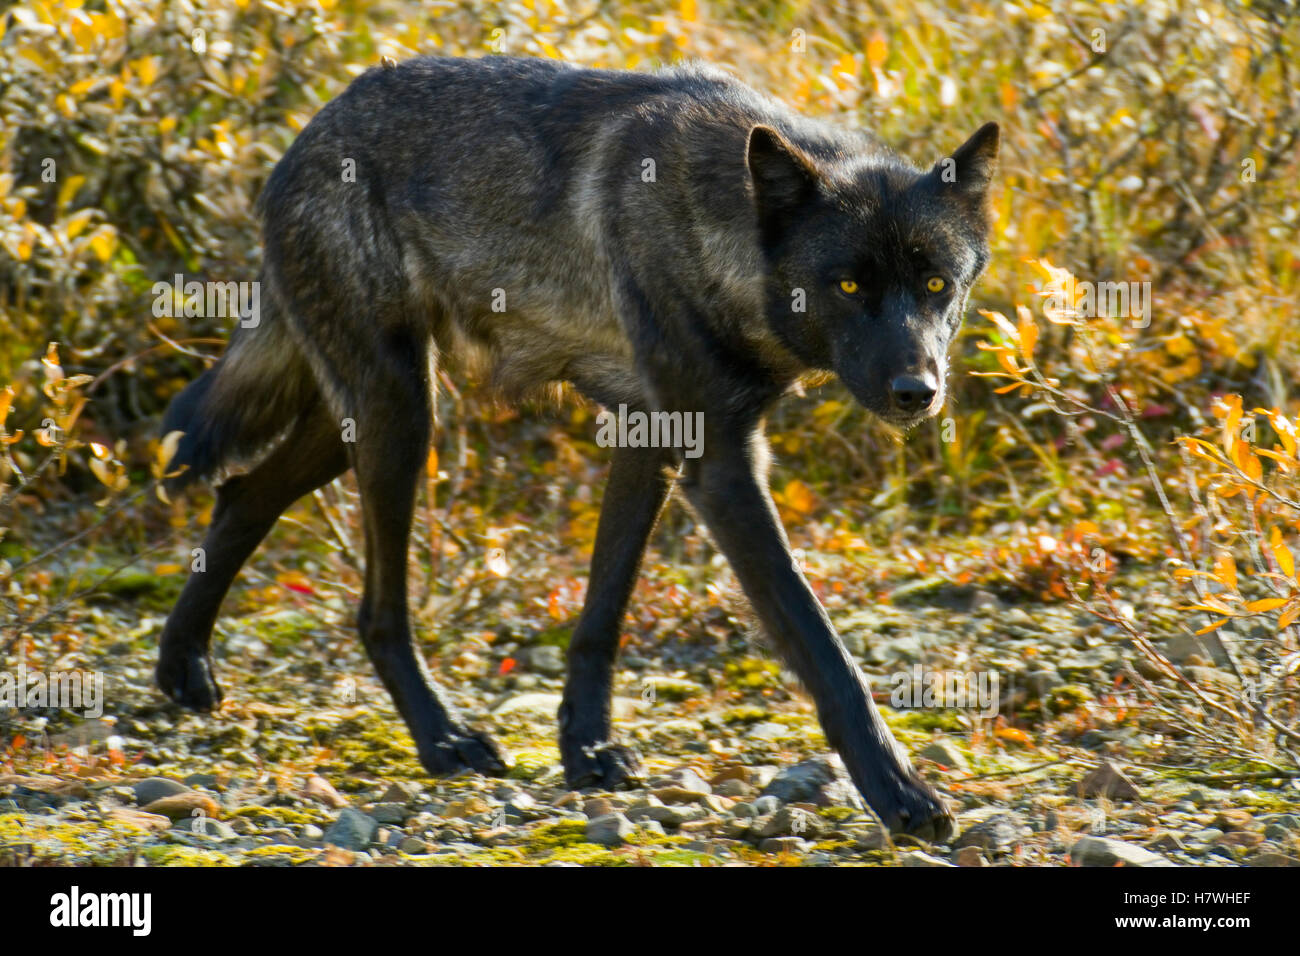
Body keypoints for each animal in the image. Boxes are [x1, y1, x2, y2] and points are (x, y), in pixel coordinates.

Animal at [157, 54, 998, 840]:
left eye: (936, 285)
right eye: (848, 286)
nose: (916, 391)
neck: (716, 221)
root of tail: (309, 133)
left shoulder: (649, 438)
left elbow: (602, 614)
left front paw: (586, 749)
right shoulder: (722, 467)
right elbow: (822, 647)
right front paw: (900, 793)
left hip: (356, 425)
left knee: (241, 493)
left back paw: (182, 667)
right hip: (400, 418)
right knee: (375, 611)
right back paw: (443, 739)